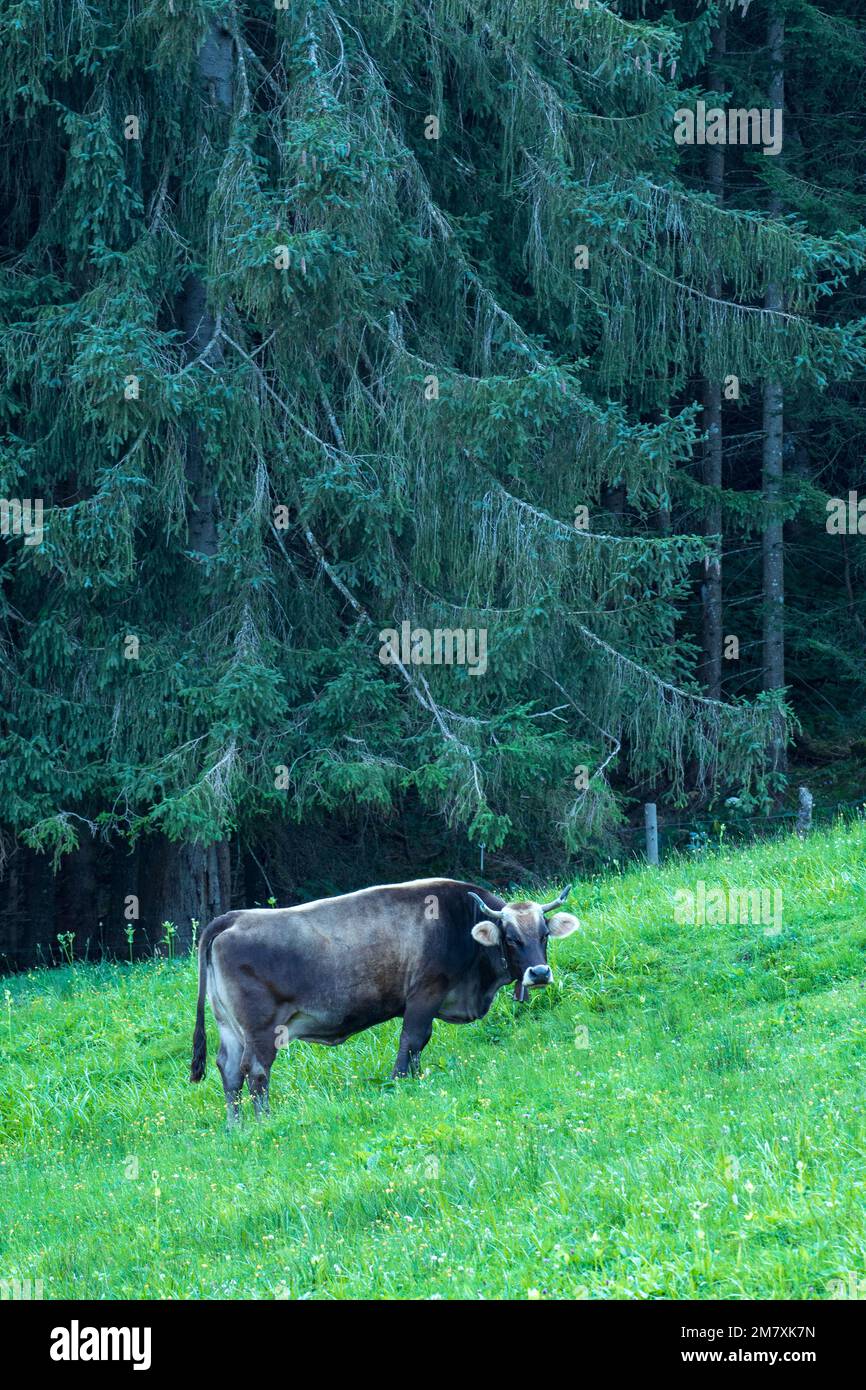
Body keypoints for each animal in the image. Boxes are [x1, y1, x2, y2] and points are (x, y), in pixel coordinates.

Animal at [190, 878, 579, 1122]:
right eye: (511, 938)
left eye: (544, 934)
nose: (539, 973)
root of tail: (233, 918)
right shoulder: (425, 992)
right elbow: (412, 1040)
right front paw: (399, 1081)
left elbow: (419, 1045)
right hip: (261, 1028)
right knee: (256, 1071)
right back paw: (264, 1121)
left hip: (229, 1027)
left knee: (229, 1071)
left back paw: (236, 1127)